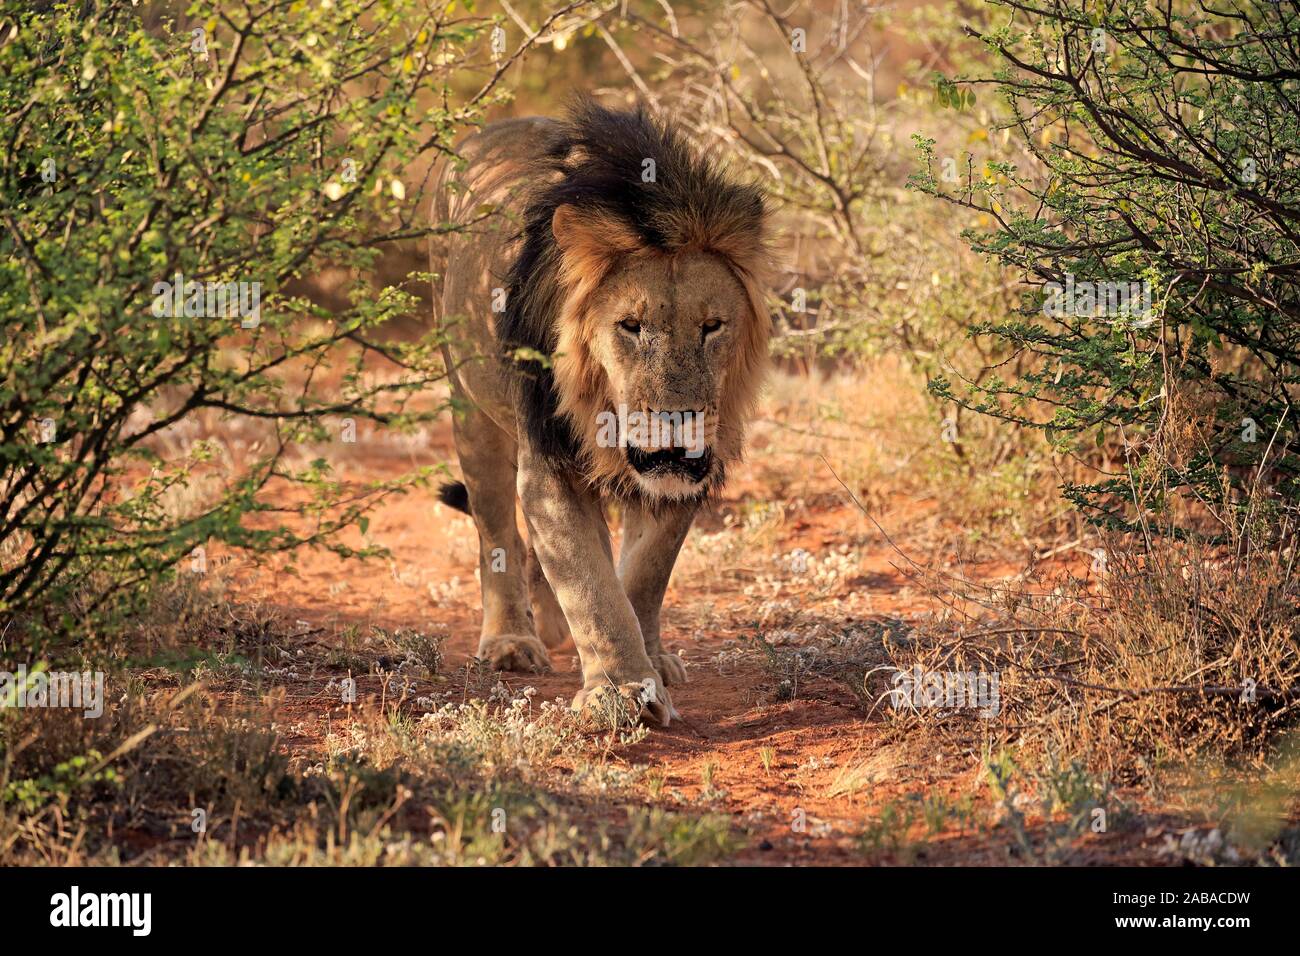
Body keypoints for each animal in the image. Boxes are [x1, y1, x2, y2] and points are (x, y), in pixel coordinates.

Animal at [430, 99, 772, 727]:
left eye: (713, 326)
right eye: (629, 325)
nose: (674, 427)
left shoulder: (688, 472)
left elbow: (643, 577)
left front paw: (649, 665)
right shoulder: (550, 462)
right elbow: (592, 587)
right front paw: (617, 691)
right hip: (472, 413)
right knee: (495, 532)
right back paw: (512, 641)